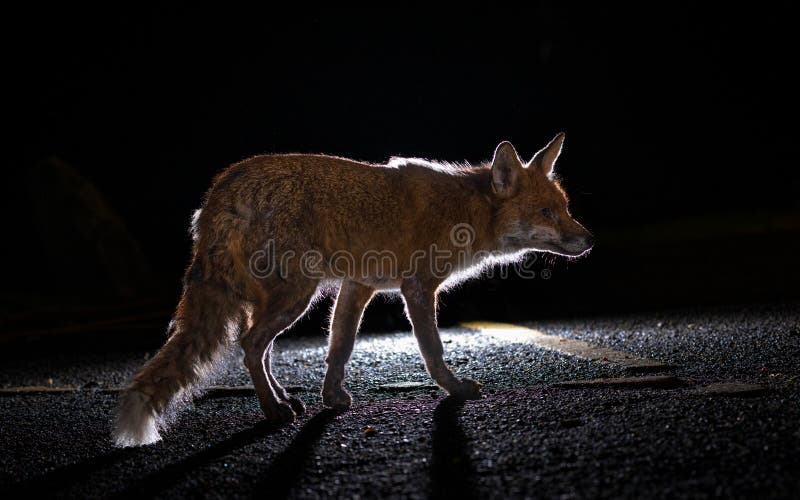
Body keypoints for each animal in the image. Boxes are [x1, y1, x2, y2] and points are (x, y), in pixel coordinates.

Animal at [112, 133, 593, 447]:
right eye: (546, 213)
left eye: (566, 208)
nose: (589, 241)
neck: (464, 210)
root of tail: (220, 192)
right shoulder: (416, 288)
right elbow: (433, 351)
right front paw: (454, 390)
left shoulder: (358, 285)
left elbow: (340, 346)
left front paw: (331, 399)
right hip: (296, 296)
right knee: (250, 345)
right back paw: (273, 410)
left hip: (280, 300)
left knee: (259, 350)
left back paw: (283, 399)